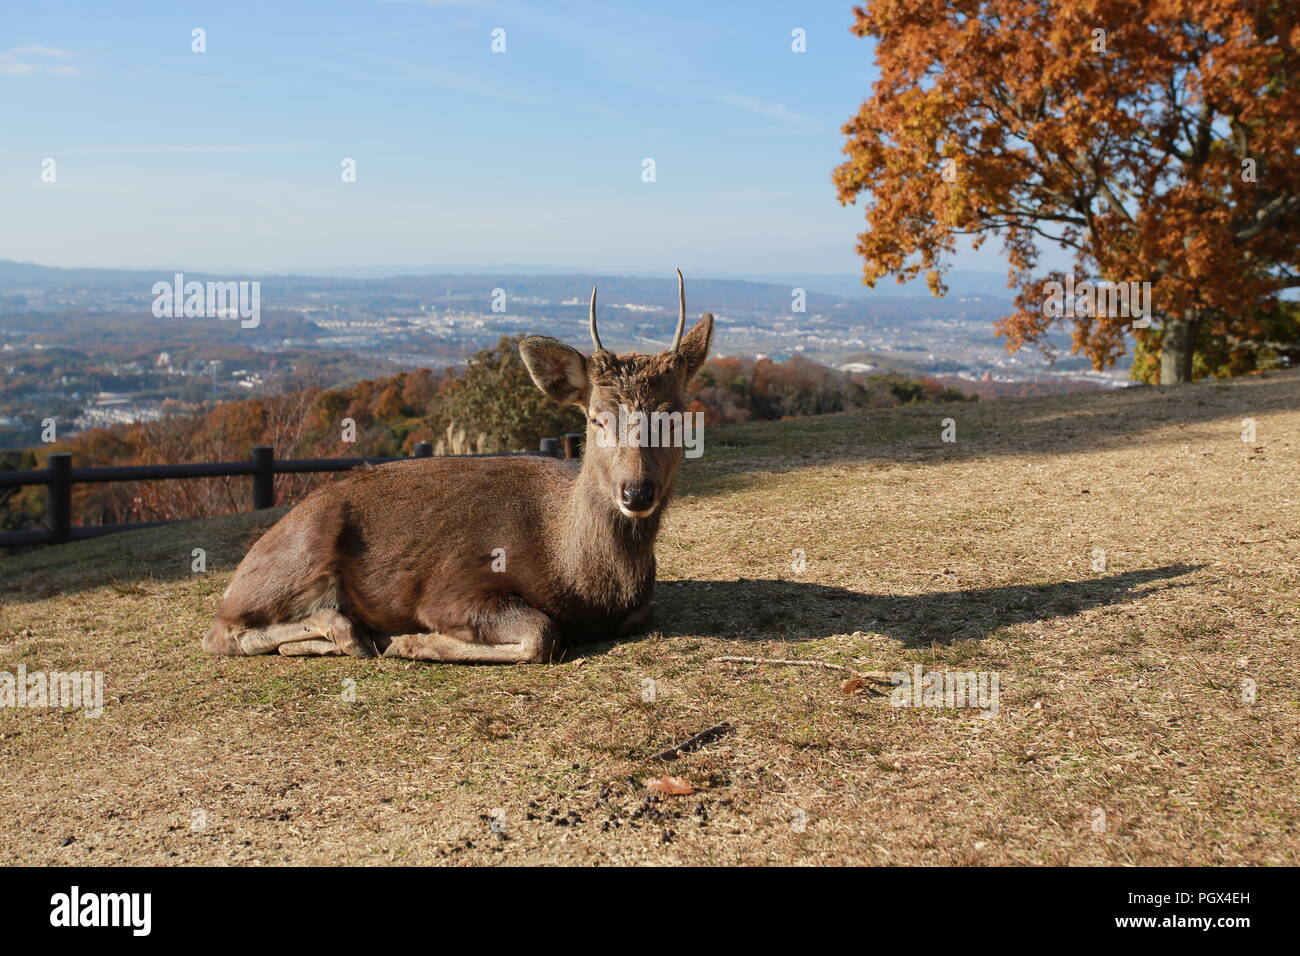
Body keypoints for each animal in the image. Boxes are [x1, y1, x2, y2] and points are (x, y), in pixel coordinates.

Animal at [202, 271, 713, 664]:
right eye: (595, 417)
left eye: (674, 414)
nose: (635, 491)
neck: (580, 578)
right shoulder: (452, 586)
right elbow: (542, 633)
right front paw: (410, 641)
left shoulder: (640, 607)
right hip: (300, 552)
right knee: (221, 630)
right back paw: (347, 631)